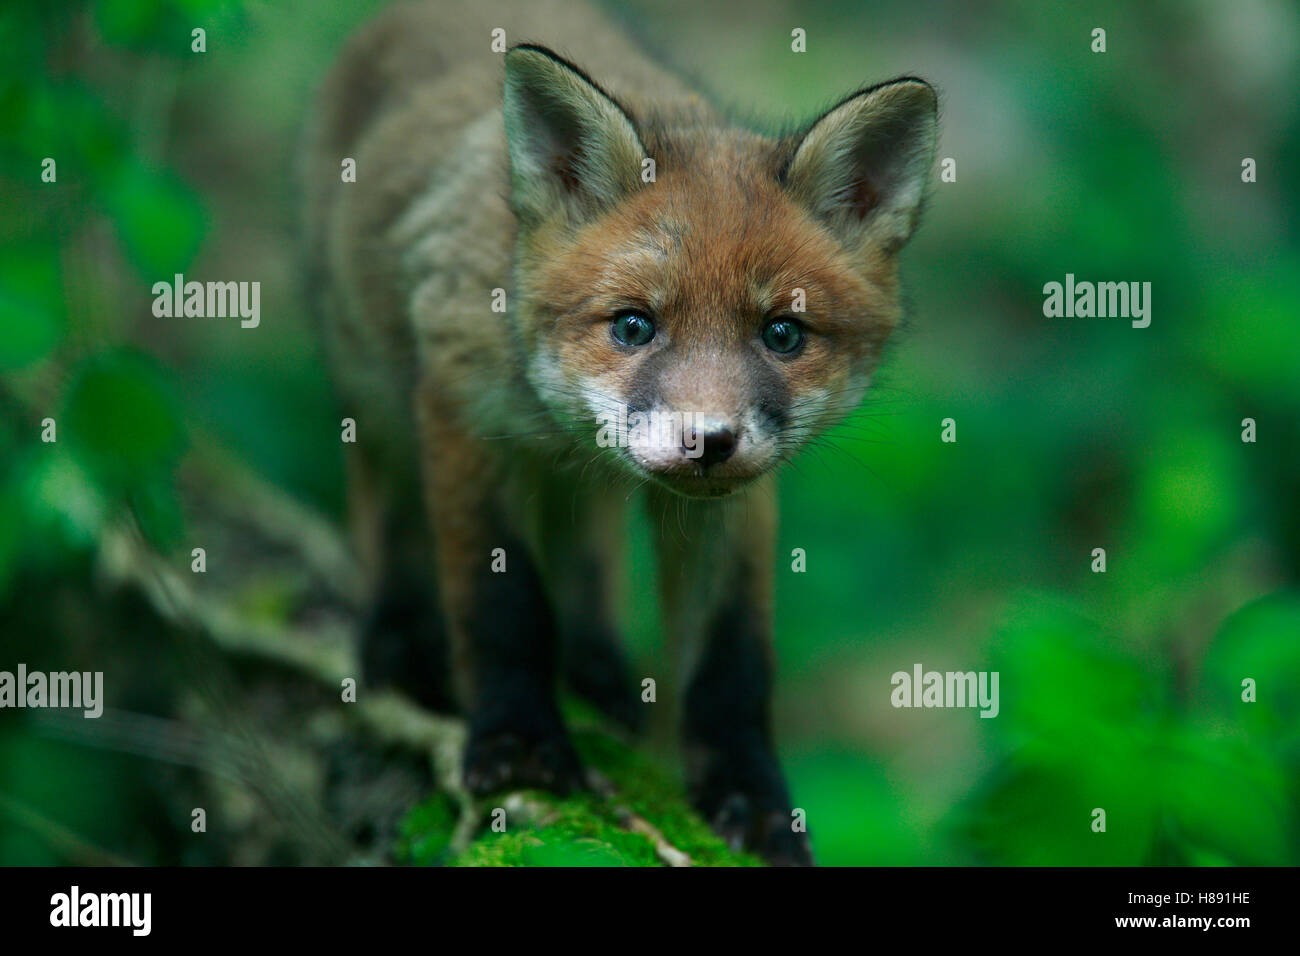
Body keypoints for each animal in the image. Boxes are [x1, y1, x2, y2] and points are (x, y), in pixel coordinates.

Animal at [302, 0, 937, 865]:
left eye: (782, 334)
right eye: (633, 325)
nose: (708, 439)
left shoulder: (734, 502)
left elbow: (730, 663)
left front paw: (754, 805)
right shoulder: (463, 412)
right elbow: (503, 607)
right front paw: (520, 745)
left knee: (587, 551)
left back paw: (597, 670)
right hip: (372, 384)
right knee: (387, 509)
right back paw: (400, 638)